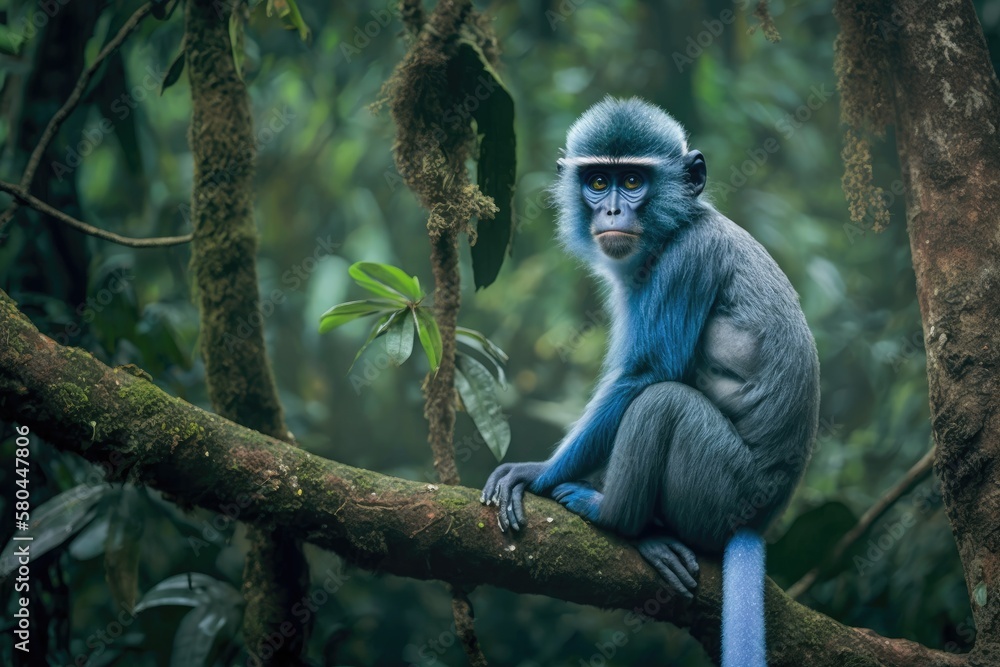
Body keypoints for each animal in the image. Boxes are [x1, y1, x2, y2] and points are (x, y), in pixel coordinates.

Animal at [480, 97, 819, 666]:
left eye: (634, 180)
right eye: (598, 181)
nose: (613, 212)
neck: (679, 224)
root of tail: (757, 521)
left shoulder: (688, 257)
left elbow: (647, 375)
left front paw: (536, 473)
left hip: (722, 491)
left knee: (663, 402)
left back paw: (613, 516)